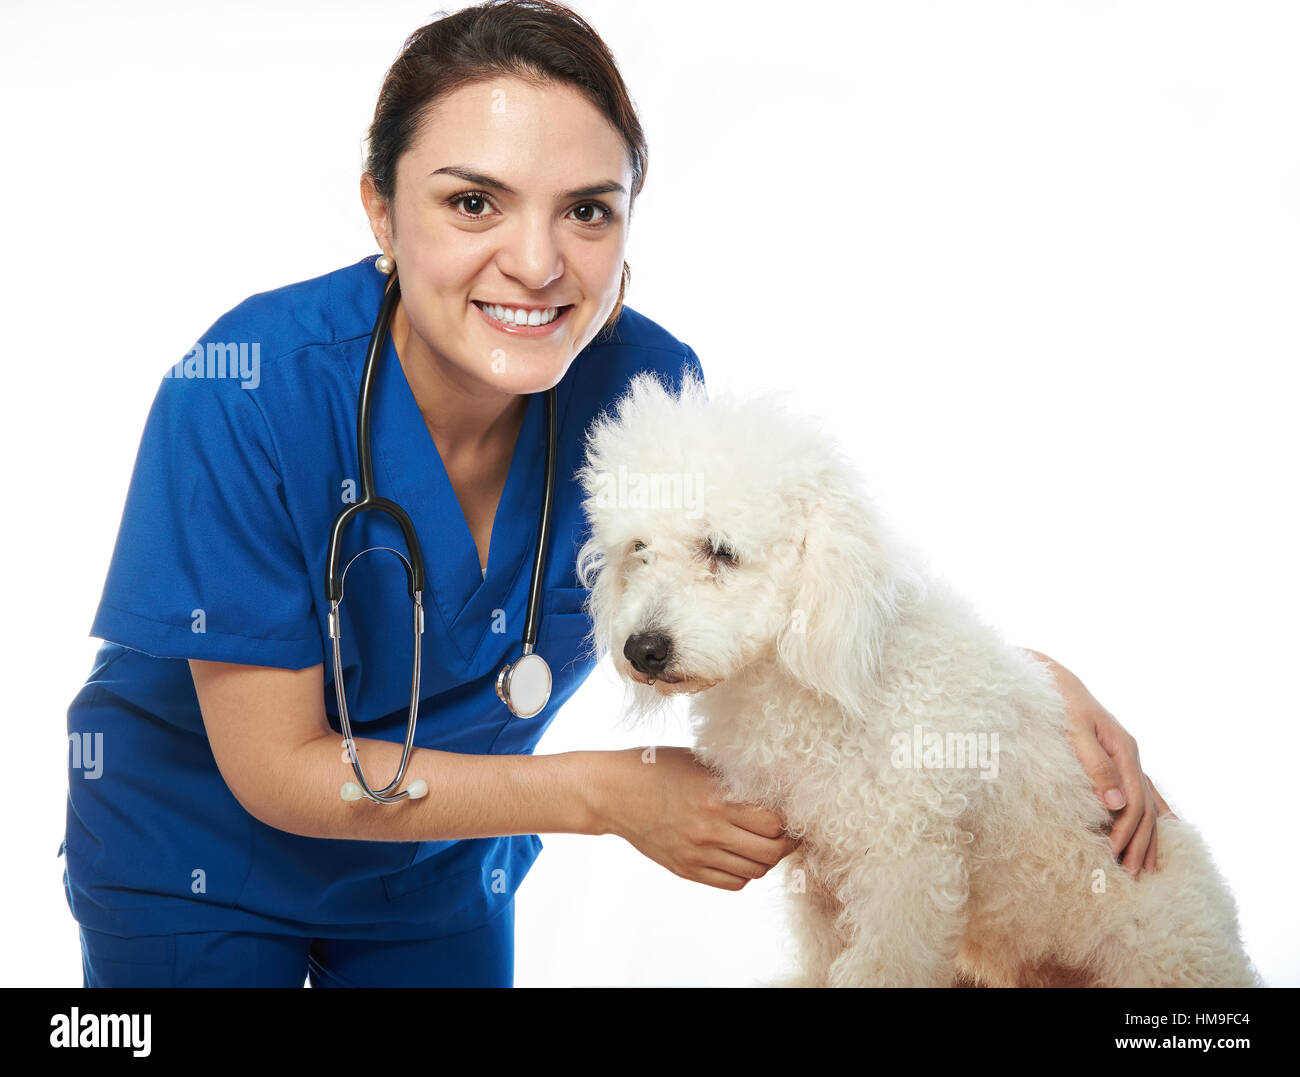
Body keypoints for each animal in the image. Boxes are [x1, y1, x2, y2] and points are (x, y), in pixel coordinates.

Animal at [577, 369, 1258, 983]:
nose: (643, 650)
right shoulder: (822, 882)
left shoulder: (906, 869)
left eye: (720, 551)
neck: (811, 683)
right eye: (638, 550)